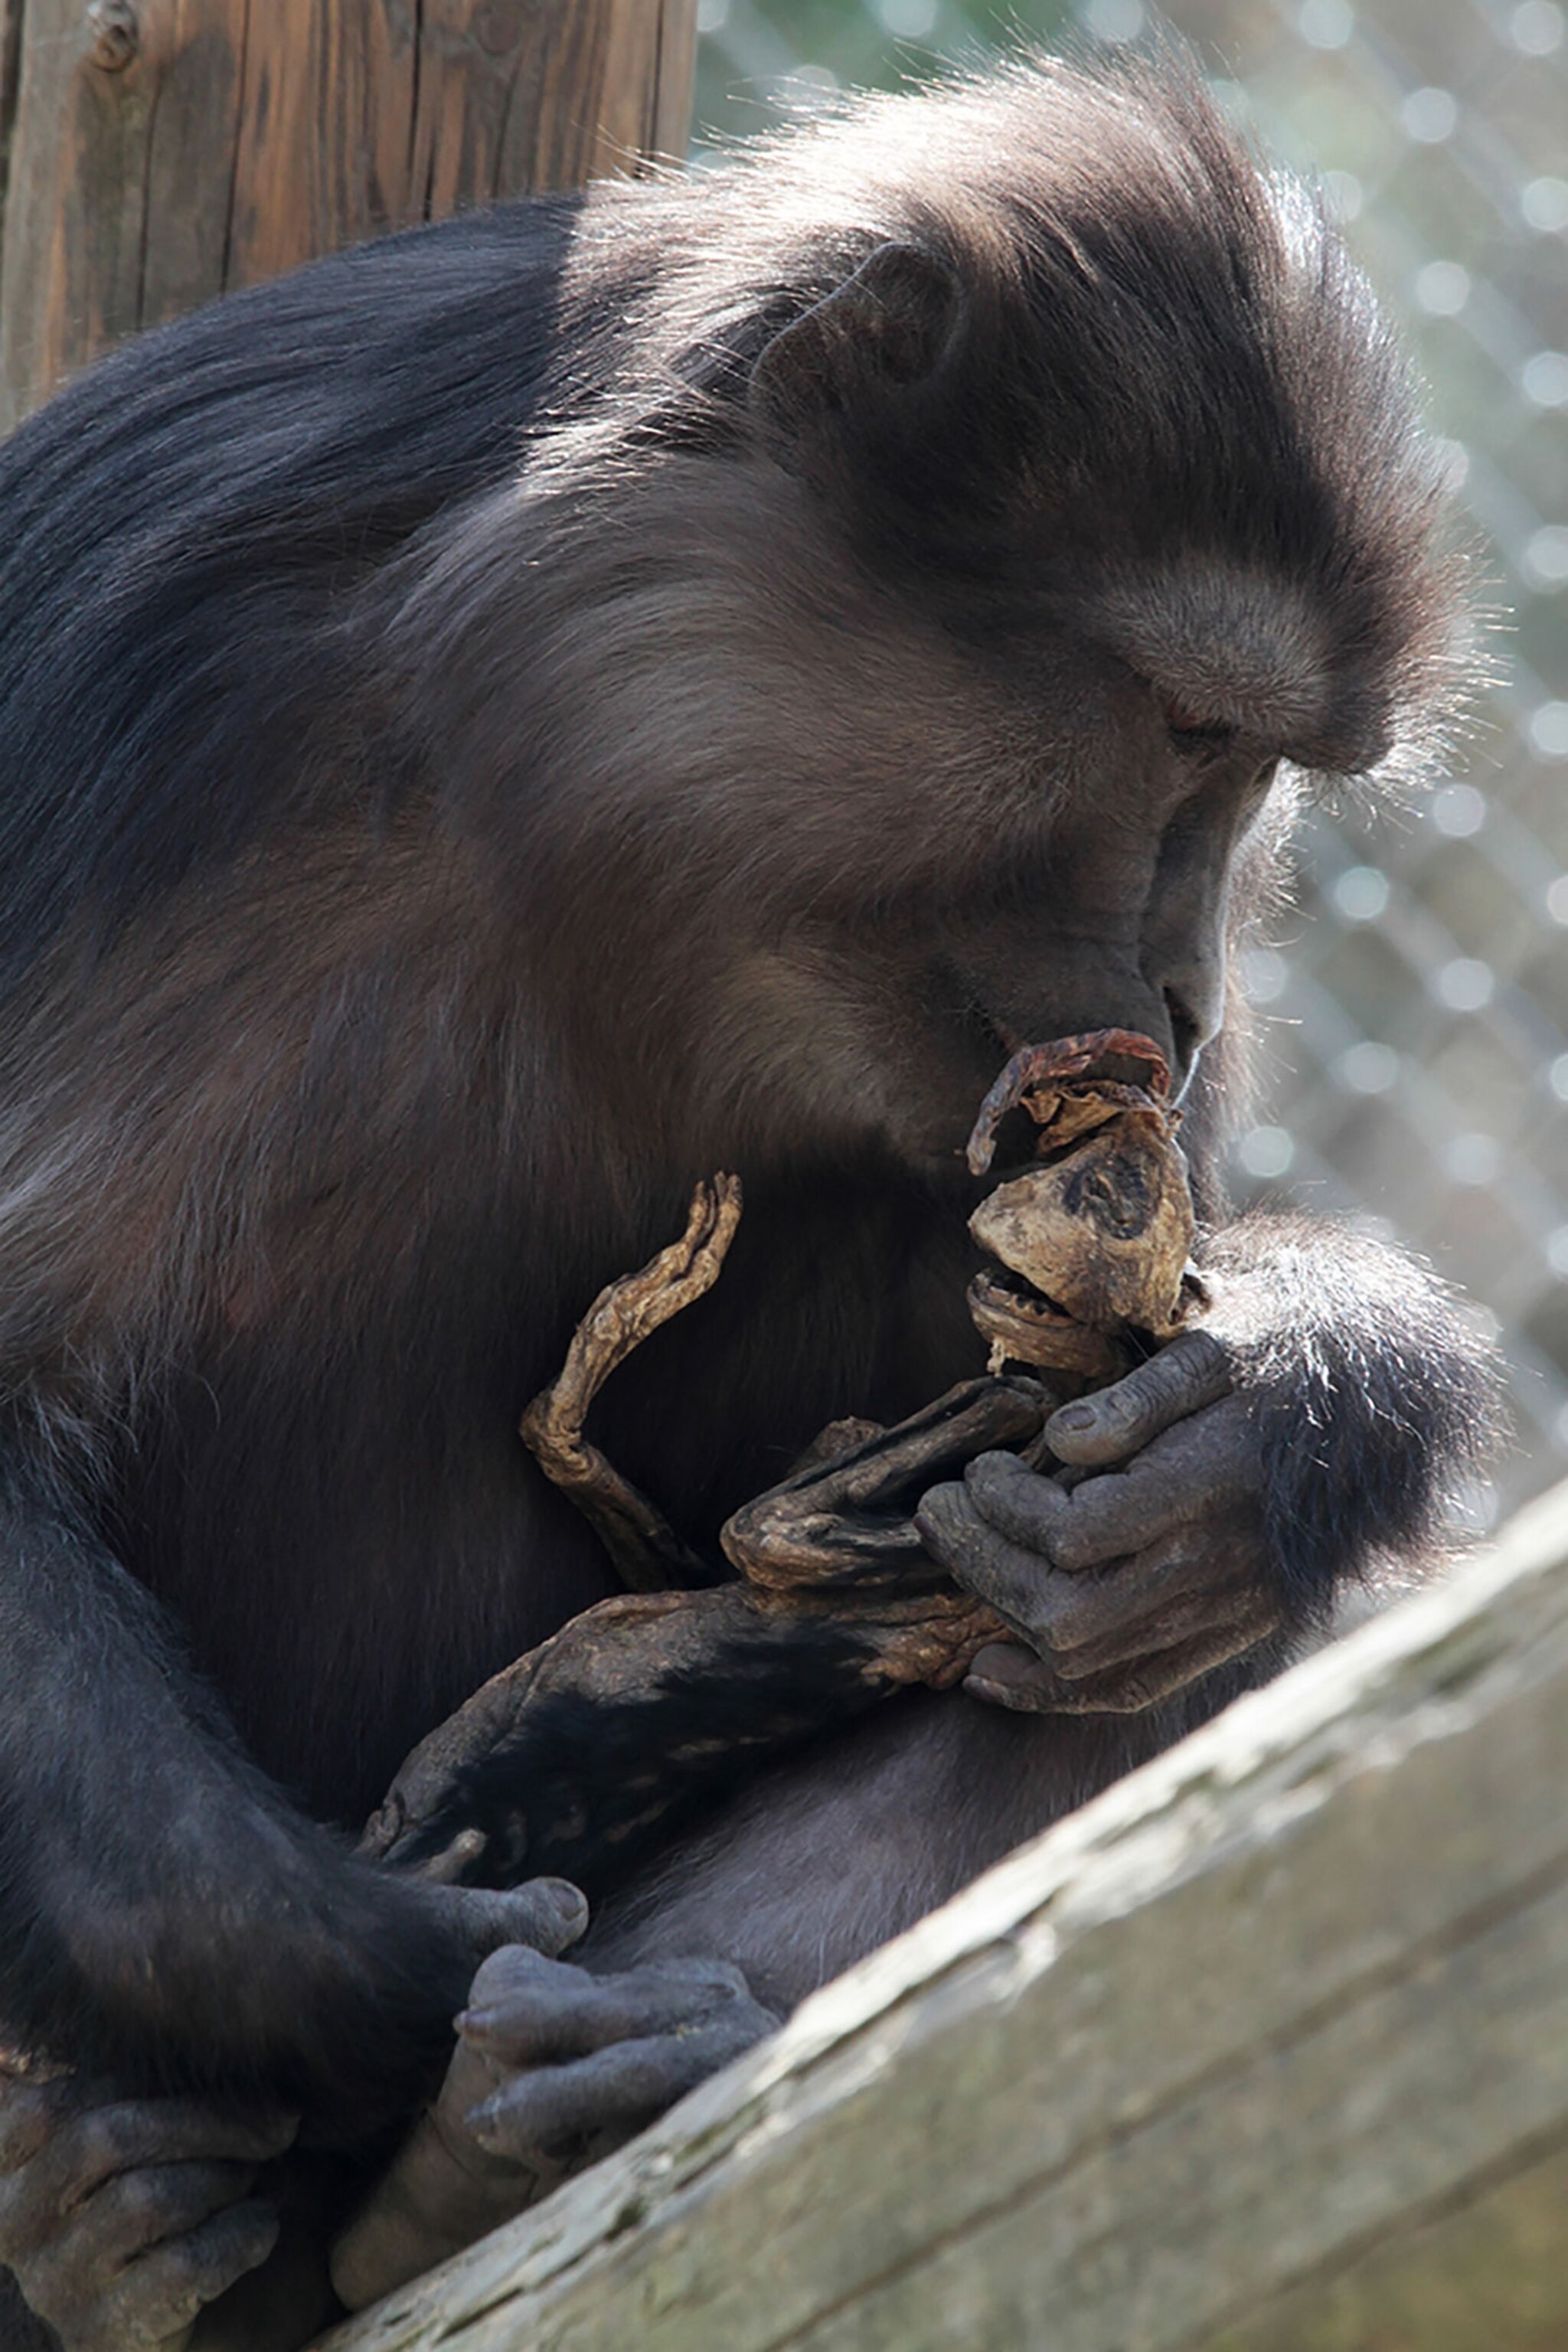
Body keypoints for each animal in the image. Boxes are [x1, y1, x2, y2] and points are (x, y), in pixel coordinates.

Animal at [0, 38, 1498, 2348]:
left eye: (1254, 773)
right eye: (1186, 729)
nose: (1185, 986)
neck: (583, 816)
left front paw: (1259, 1425)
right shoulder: (152, 702)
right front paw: (357, 1949)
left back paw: (475, 2147)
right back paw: (161, 2208)